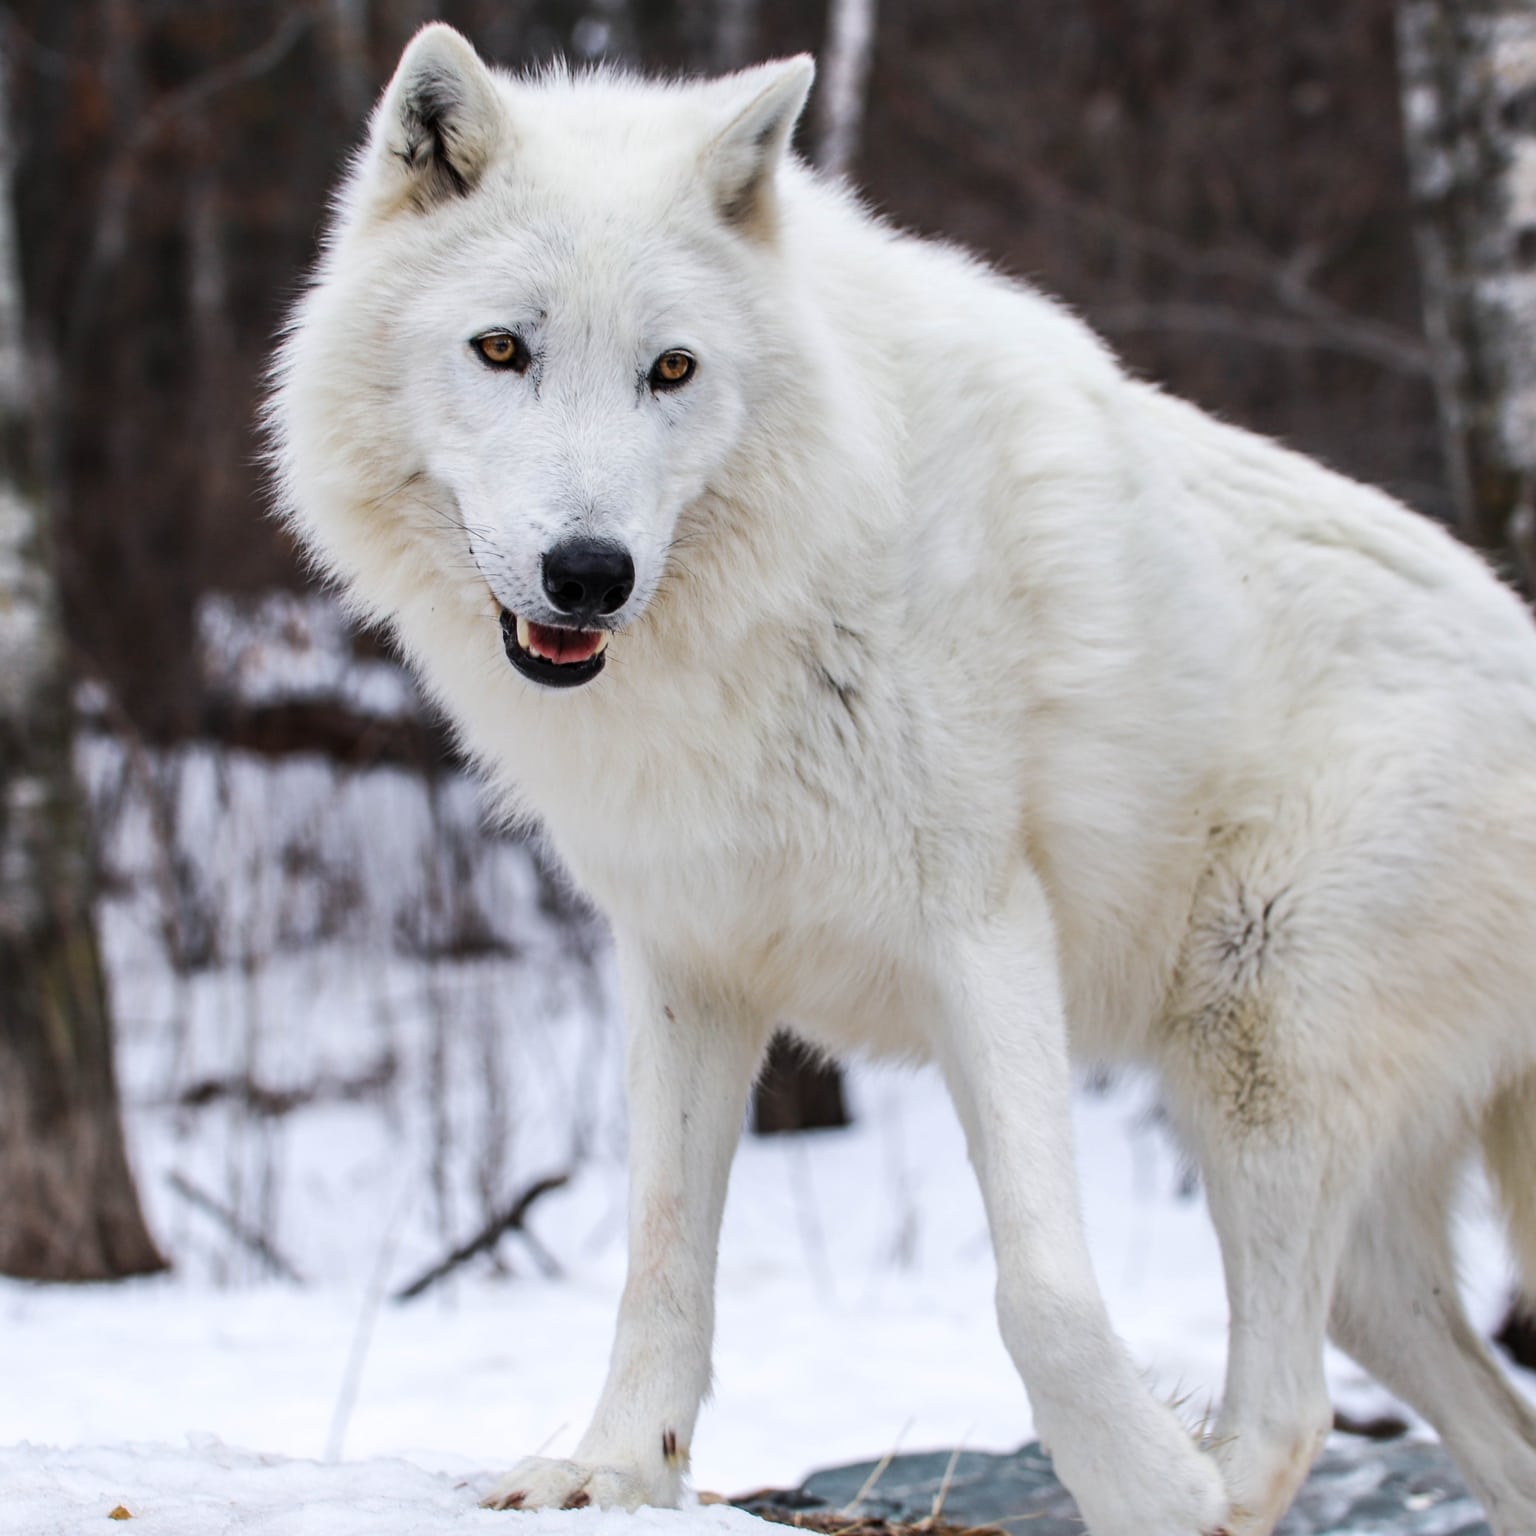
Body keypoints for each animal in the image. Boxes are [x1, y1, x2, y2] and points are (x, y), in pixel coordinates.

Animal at [269, 23, 1536, 1536]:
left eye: (672, 371)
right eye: (502, 349)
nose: (589, 572)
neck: (778, 595)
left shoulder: (984, 930)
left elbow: (1043, 1291)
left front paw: (1145, 1483)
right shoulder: (688, 957)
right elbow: (660, 1255)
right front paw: (614, 1468)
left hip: (1256, 1066)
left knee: (1288, 1417)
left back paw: (1206, 1488)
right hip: (1356, 1243)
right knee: (1489, 1433)